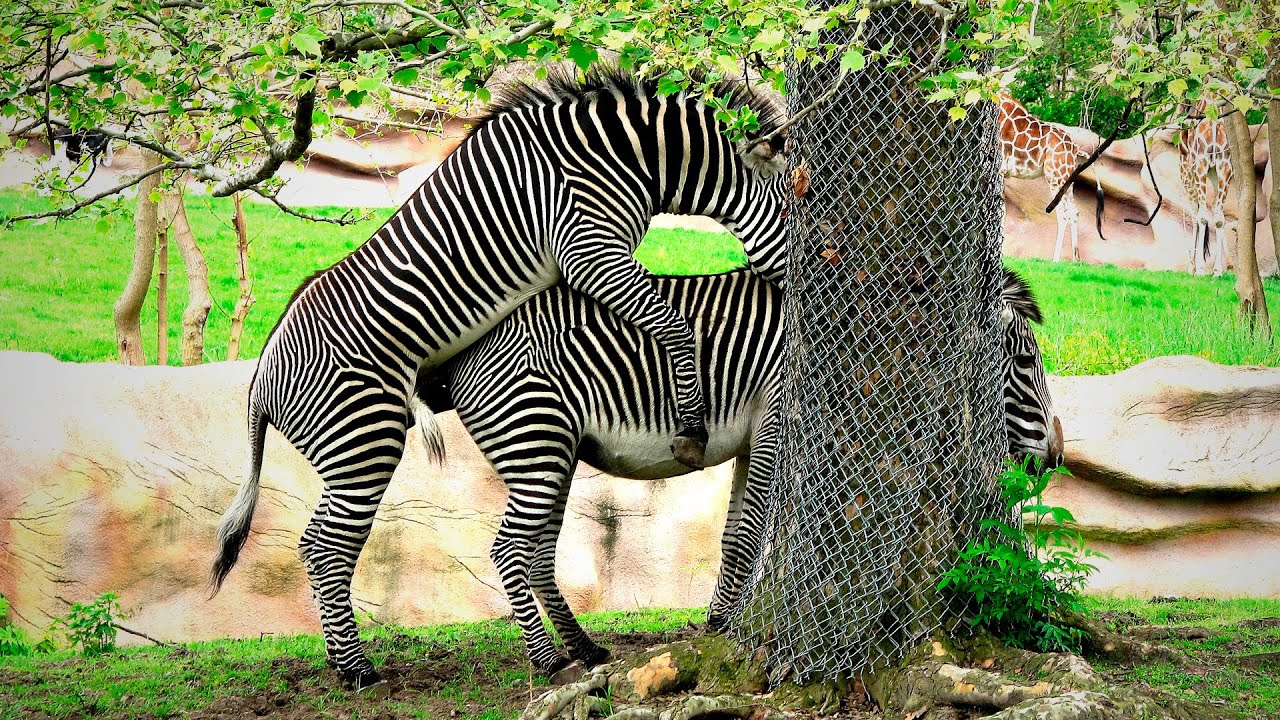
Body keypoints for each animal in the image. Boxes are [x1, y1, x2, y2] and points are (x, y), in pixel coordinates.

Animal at [209, 67, 791, 689]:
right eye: (803, 207)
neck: (619, 151)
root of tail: (259, 376)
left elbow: (734, 535)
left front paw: (722, 624)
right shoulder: (585, 250)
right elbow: (674, 326)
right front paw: (690, 426)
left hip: (537, 446)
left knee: (523, 549)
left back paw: (579, 648)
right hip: (376, 439)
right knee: (340, 548)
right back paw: (371, 668)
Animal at [405, 266, 1062, 676]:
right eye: (1024, 361)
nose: (1054, 459)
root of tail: (457, 353)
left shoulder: (753, 437)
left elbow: (733, 535)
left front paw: (727, 619)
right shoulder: (775, 417)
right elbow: (749, 536)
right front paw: (727, 625)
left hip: (555, 449)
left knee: (539, 549)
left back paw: (586, 649)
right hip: (536, 436)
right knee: (509, 548)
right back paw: (549, 660)